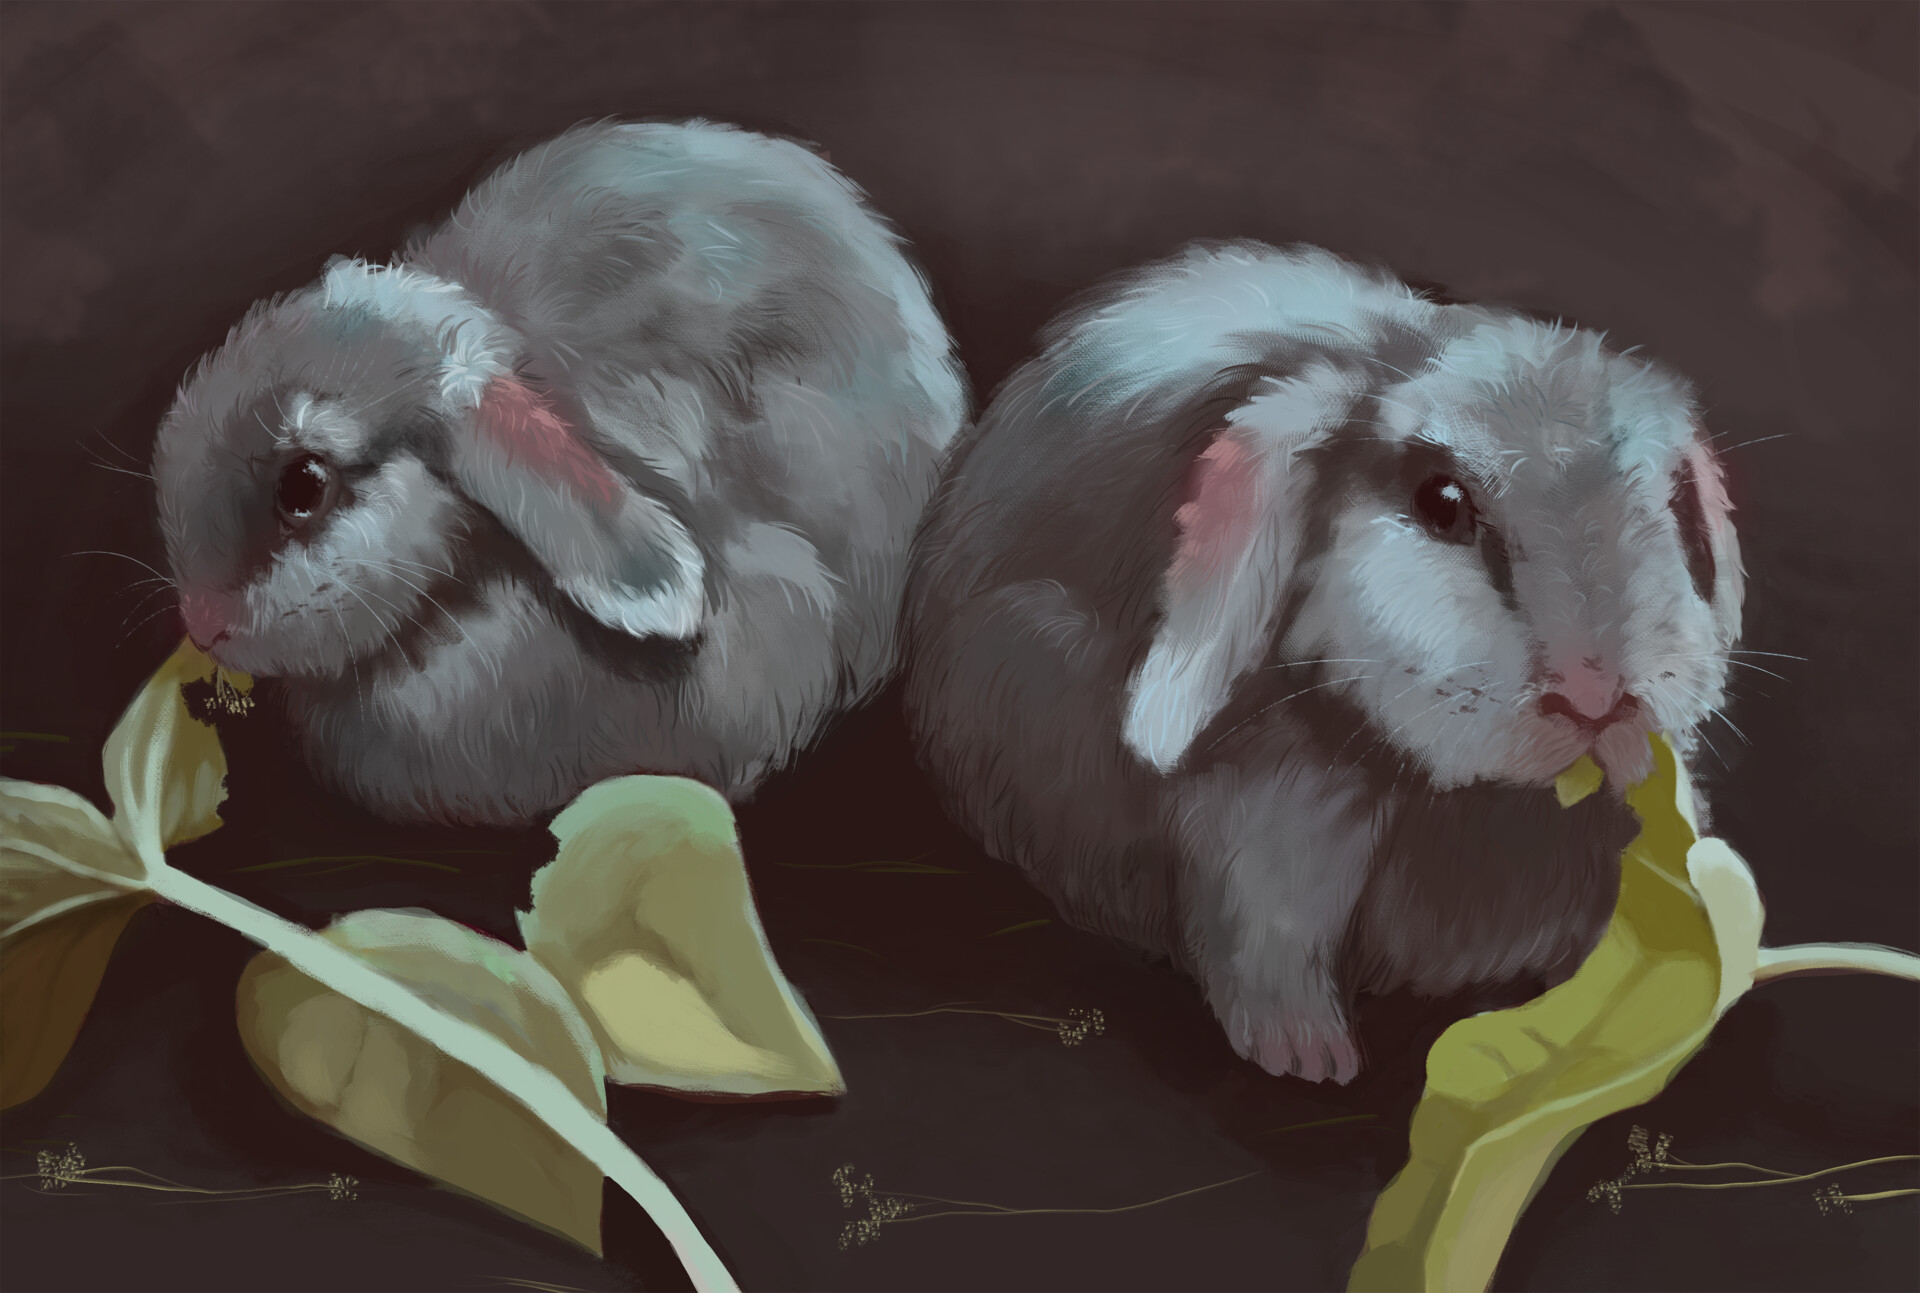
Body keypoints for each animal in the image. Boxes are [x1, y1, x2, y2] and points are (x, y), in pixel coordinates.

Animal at [902, 240, 1745, 1082]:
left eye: (1671, 503)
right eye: (1441, 501)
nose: (1597, 695)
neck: (1478, 807)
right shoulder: (1272, 825)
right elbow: (1266, 934)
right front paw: (1309, 1059)